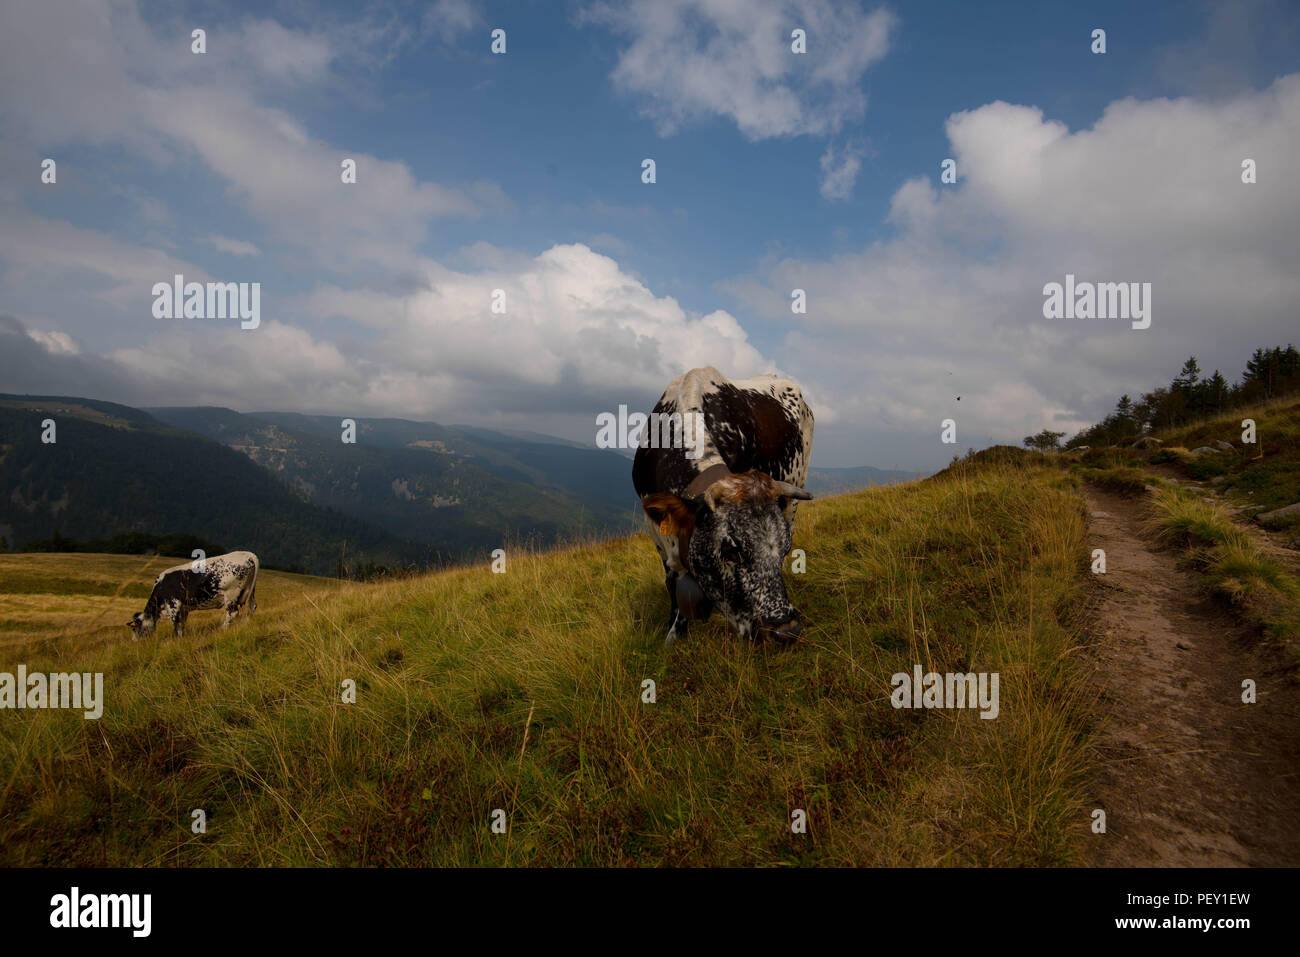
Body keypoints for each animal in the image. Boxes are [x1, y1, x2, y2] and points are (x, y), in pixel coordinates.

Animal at [127, 551, 259, 638]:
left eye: (134, 628)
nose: (134, 641)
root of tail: (247, 554)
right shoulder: (184, 609)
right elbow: (182, 624)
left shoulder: (173, 604)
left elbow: (176, 624)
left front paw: (177, 640)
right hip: (250, 591)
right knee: (252, 607)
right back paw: (246, 623)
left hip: (231, 595)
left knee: (232, 613)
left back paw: (223, 629)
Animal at [632, 367, 814, 646]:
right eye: (730, 550)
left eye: (785, 550)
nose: (786, 631)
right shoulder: (655, 528)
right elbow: (672, 580)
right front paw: (673, 631)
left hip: (794, 492)